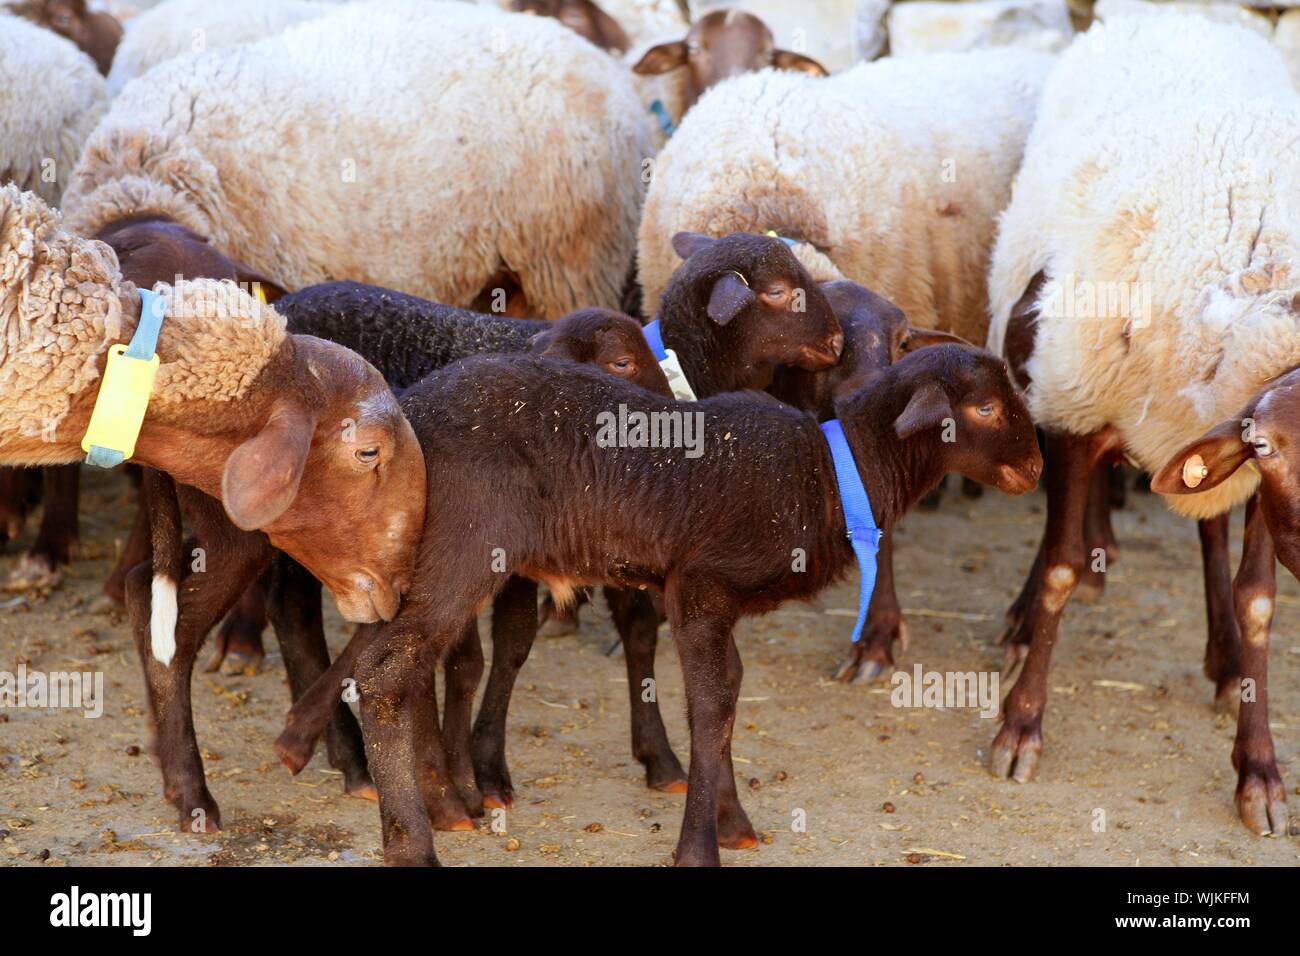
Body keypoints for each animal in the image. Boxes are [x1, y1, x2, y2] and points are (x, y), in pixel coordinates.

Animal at [285, 341, 1039, 865]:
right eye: (985, 408)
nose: (1034, 468)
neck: (833, 473)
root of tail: (407, 419)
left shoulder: (712, 601)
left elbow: (728, 696)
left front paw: (732, 822)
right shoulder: (700, 584)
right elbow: (712, 706)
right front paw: (699, 845)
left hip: (428, 556)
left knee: (395, 656)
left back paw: (392, 781)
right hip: (464, 547)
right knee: (389, 672)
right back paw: (413, 841)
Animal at [983, 16, 1300, 836]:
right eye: (1270, 444)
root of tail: (1172, 14)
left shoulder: (1245, 454)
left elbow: (1259, 601)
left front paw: (1259, 773)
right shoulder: (1080, 408)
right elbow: (1063, 565)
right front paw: (1019, 729)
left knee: (1207, 524)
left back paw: (1222, 658)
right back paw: (1023, 623)